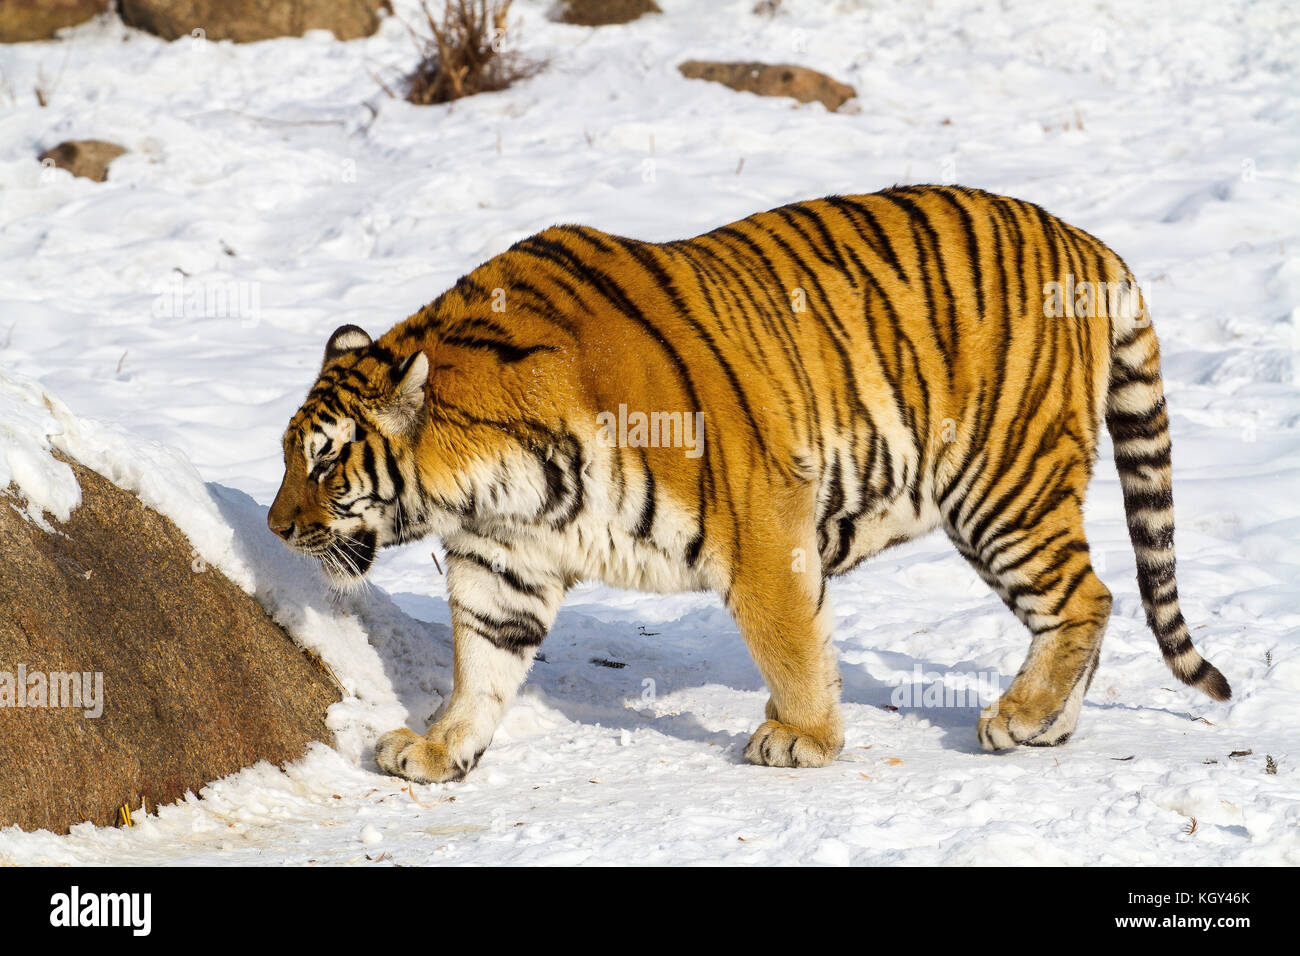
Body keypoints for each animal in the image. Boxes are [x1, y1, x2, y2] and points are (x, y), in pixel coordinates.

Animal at [268, 184, 1230, 784]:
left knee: (1088, 595)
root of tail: (1087, 240)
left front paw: (803, 737)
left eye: (323, 460)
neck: (484, 484)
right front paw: (441, 750)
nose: (275, 528)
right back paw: (1050, 724)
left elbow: (789, 639)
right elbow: (481, 666)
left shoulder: (763, 515)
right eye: (288, 455)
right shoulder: (502, 562)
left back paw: (1021, 717)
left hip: (1004, 484)